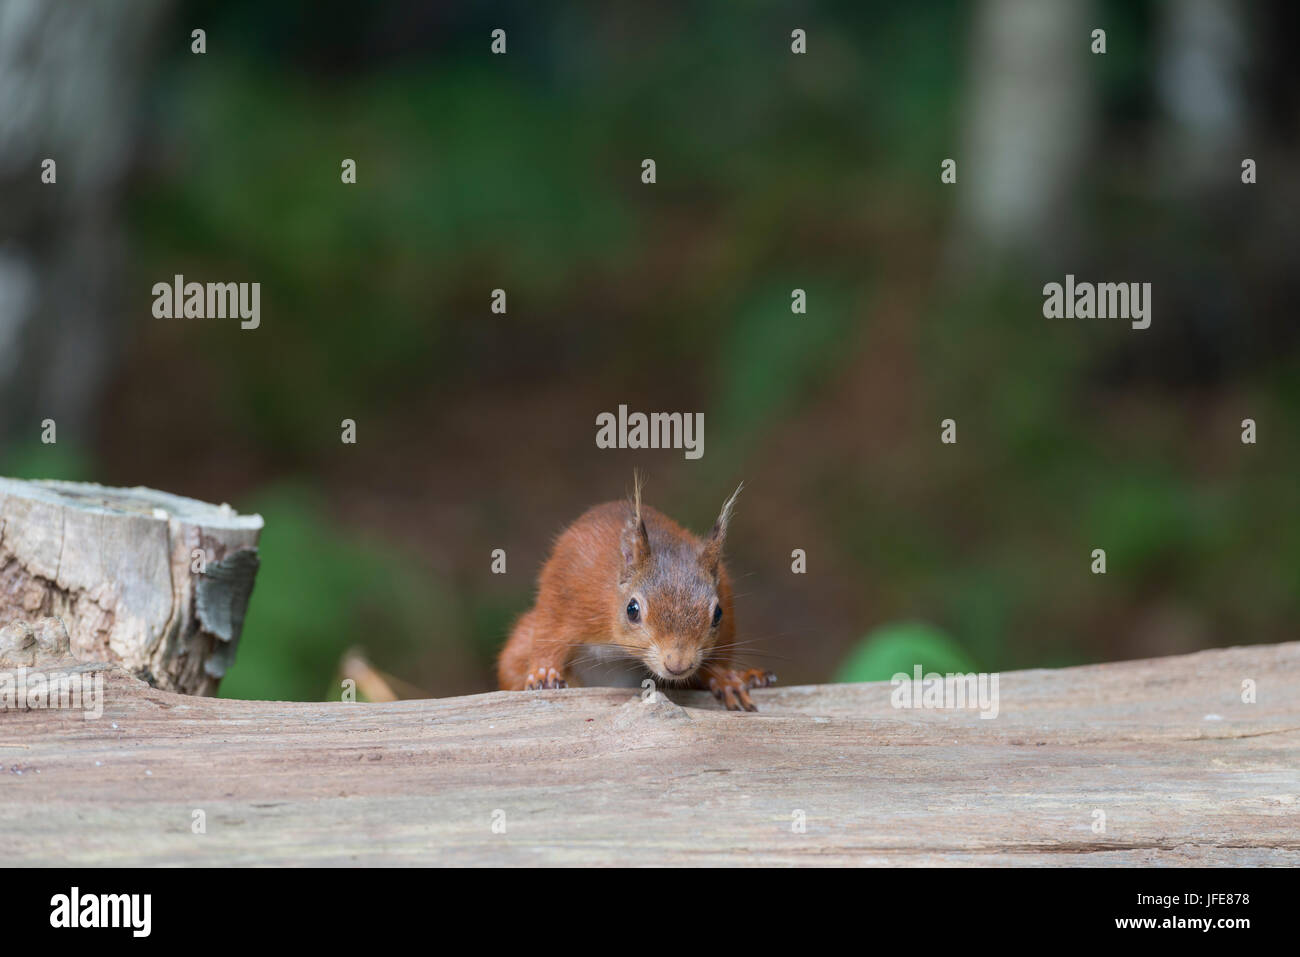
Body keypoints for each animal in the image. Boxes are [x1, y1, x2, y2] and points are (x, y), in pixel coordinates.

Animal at [498, 476, 776, 711]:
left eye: (718, 614)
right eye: (632, 610)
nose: (677, 665)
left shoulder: (725, 594)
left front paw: (725, 678)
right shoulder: (572, 586)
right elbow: (550, 630)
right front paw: (544, 673)